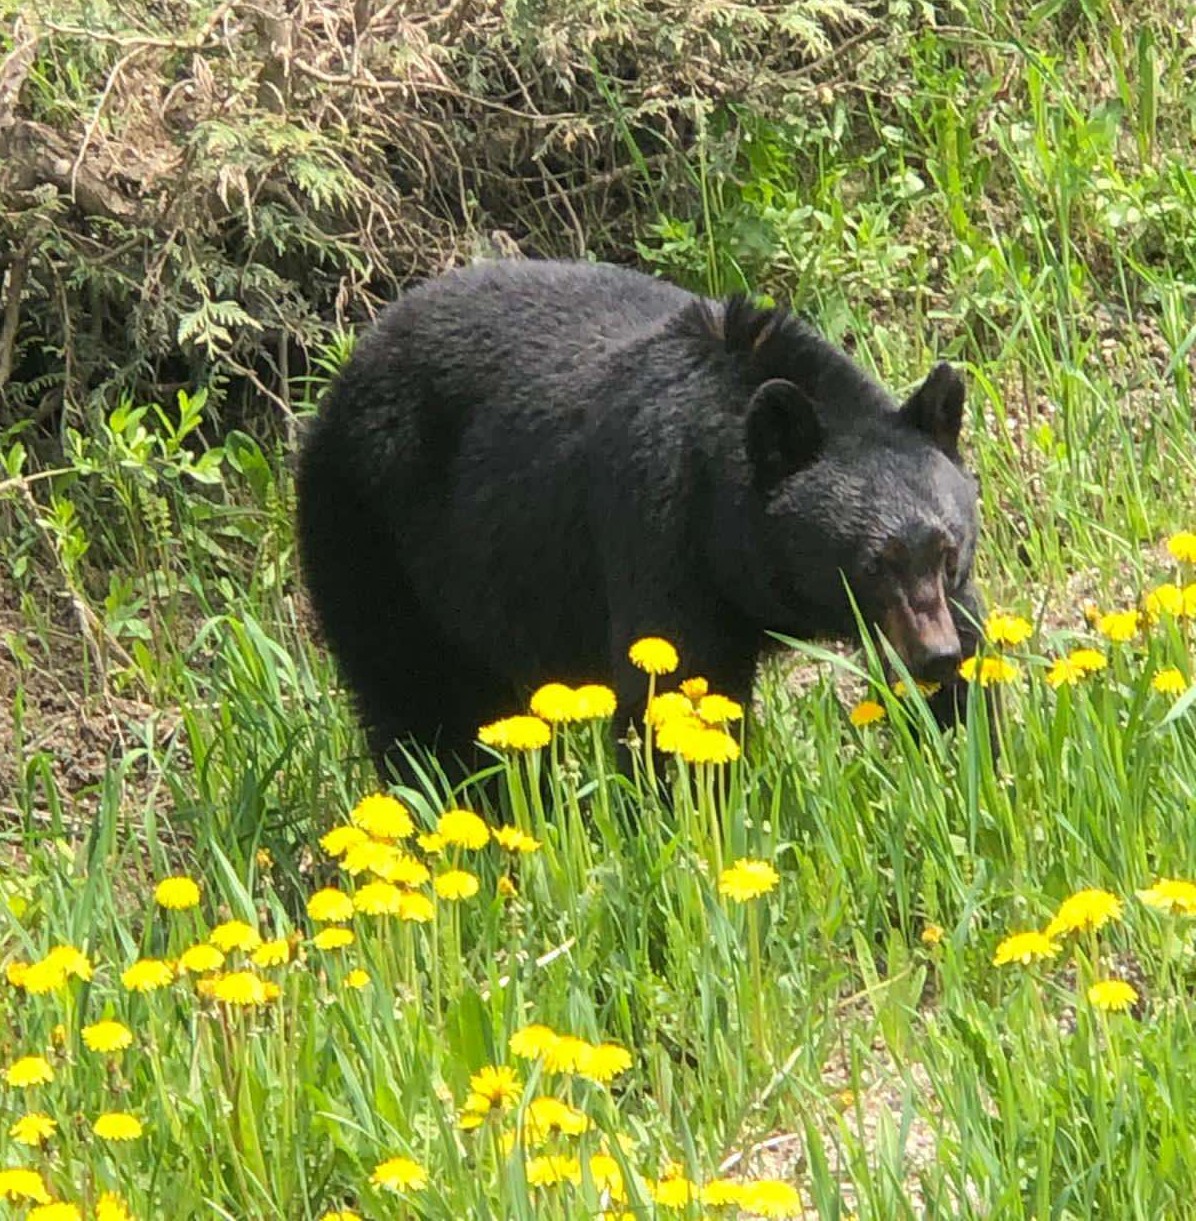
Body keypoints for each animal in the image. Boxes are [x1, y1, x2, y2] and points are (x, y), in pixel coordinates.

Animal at [295, 258, 988, 780]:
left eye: (949, 552)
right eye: (873, 564)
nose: (934, 656)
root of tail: (349, 366)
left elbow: (979, 646)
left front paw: (964, 741)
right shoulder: (661, 529)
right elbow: (674, 686)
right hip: (372, 535)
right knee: (419, 698)